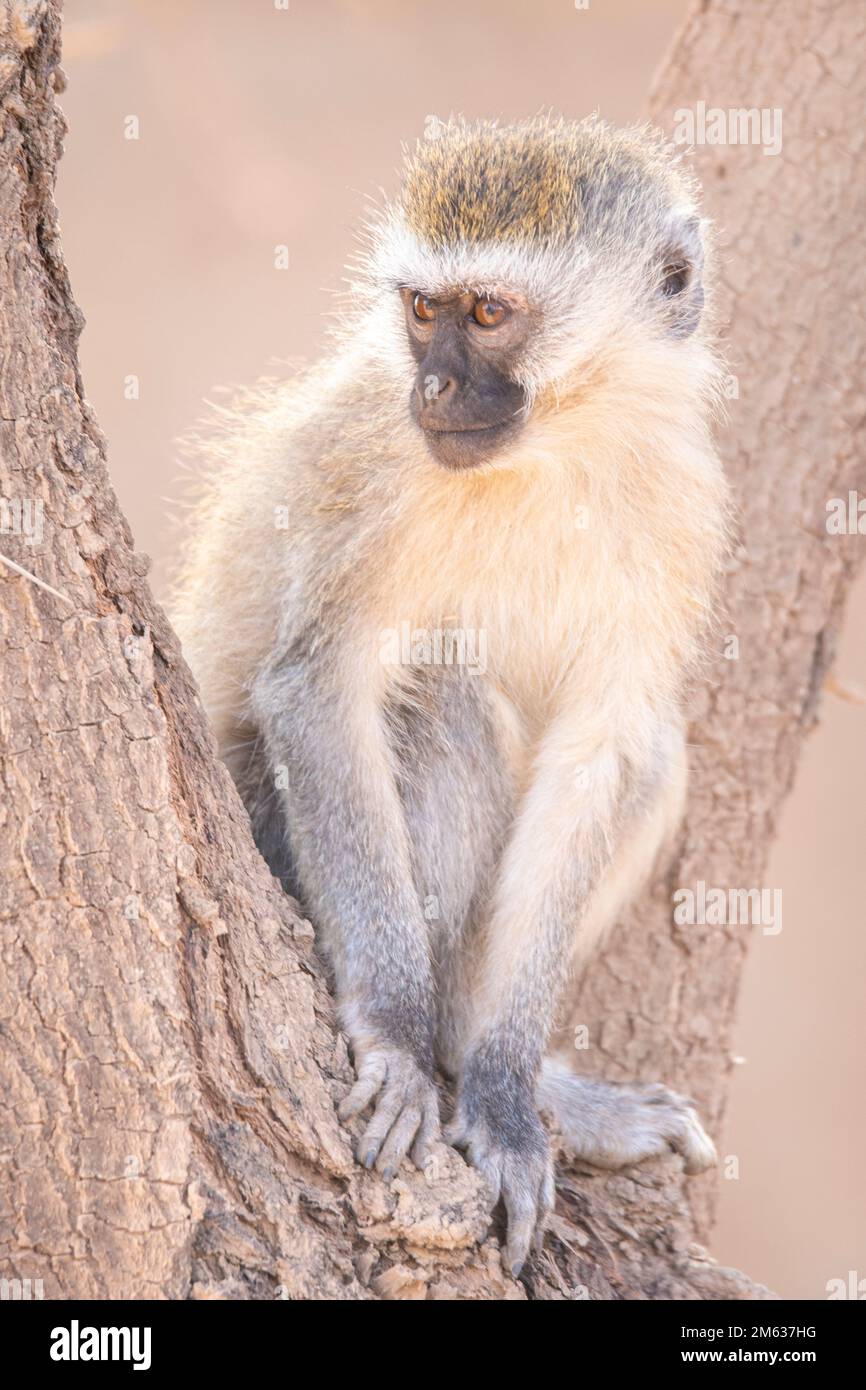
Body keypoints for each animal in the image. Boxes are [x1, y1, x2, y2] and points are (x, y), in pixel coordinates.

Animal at [172, 115, 729, 1276]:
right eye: (422, 311)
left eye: (488, 313)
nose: (428, 392)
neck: (563, 443)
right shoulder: (377, 475)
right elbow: (323, 686)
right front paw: (392, 1029)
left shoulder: (681, 504)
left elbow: (601, 751)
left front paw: (507, 1094)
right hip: (262, 837)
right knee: (440, 697)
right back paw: (430, 1046)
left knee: (651, 757)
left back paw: (505, 1069)